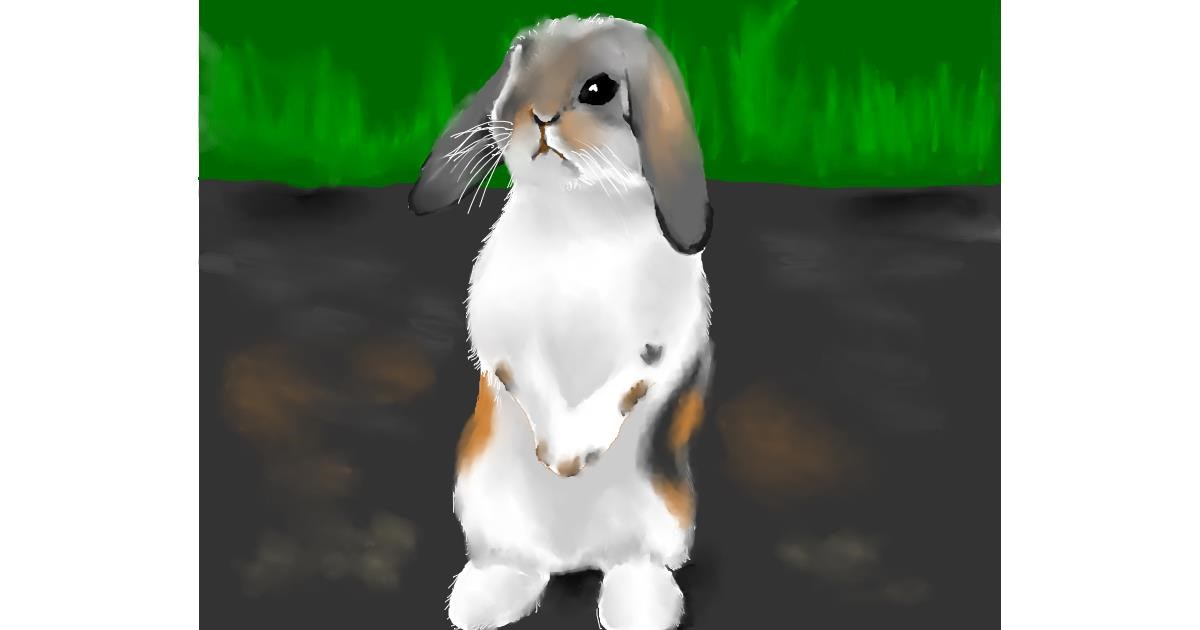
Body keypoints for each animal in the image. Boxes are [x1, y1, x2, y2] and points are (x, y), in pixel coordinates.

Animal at [408, 15, 715, 630]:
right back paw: (480, 602)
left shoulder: (664, 342)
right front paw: (558, 456)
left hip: (665, 518)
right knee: (521, 565)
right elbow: (524, 373)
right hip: (482, 501)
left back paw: (640, 609)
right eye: (518, 67)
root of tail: (573, 557)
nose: (537, 114)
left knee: (633, 564)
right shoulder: (504, 331)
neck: (581, 211)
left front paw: (571, 457)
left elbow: (631, 379)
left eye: (600, 89)